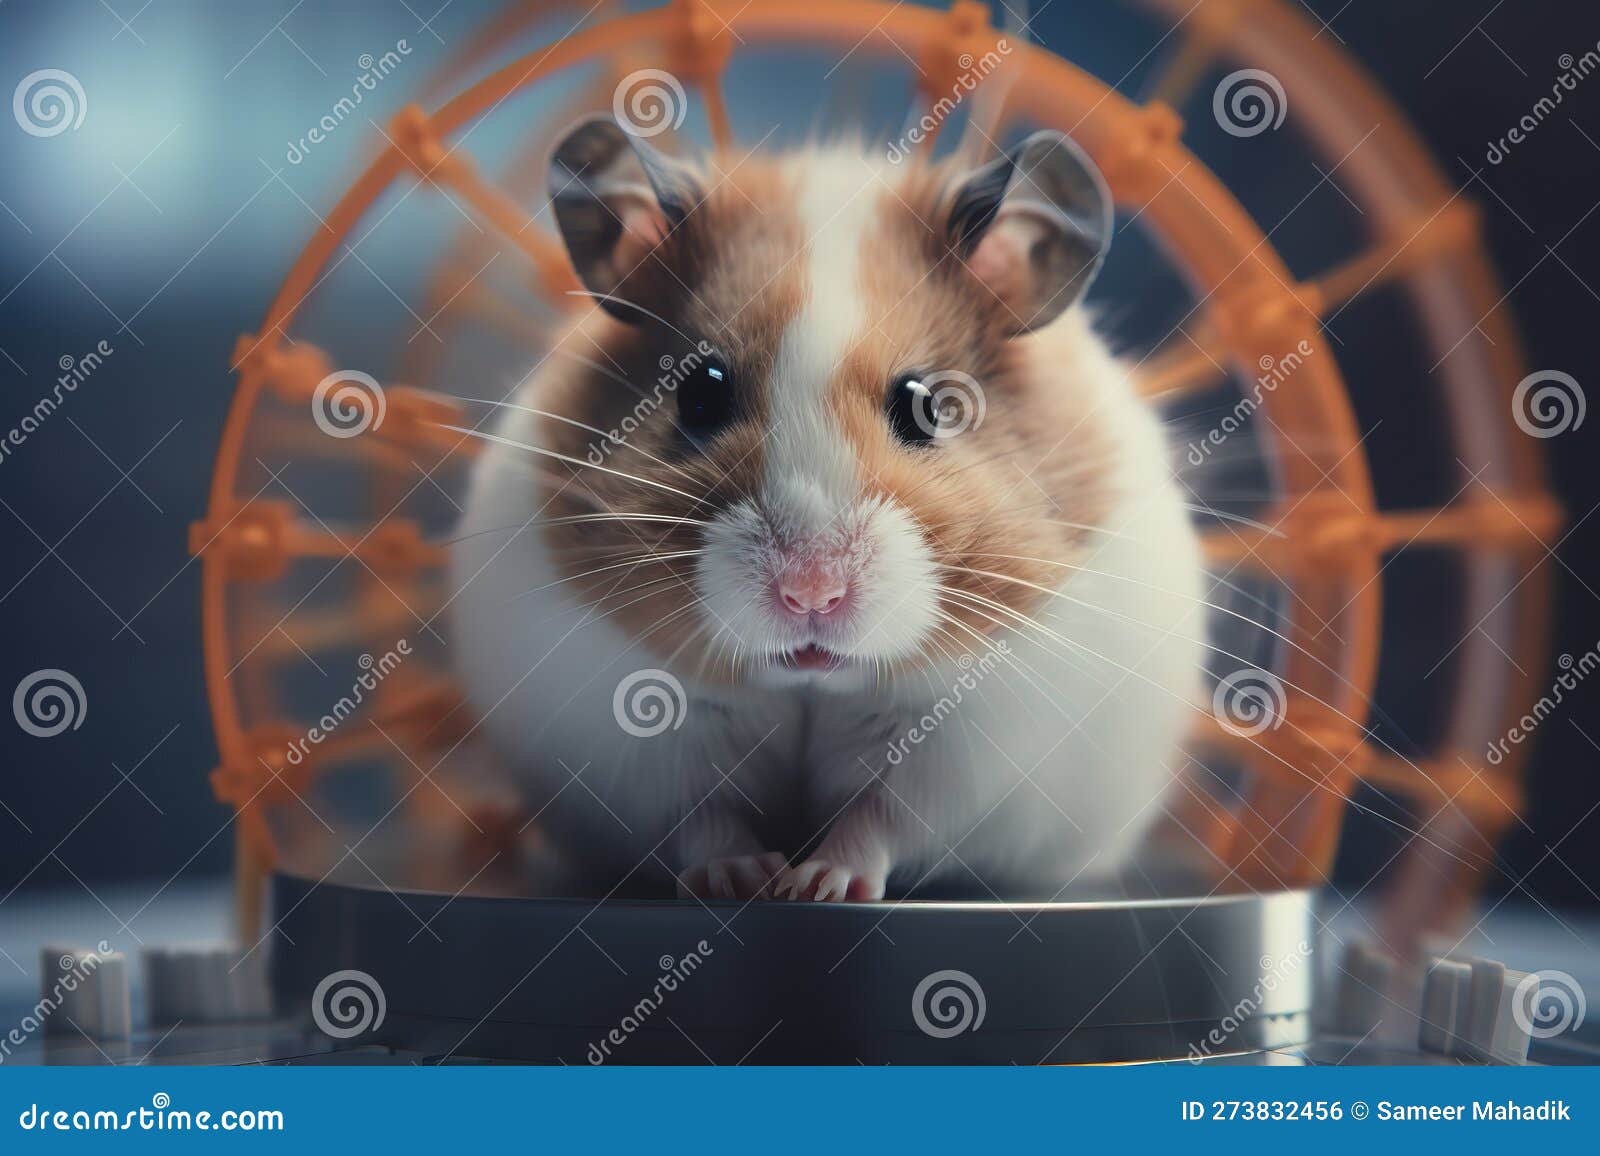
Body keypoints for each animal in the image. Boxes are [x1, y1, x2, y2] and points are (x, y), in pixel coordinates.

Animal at [447, 116, 1205, 902]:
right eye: (699, 393)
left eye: (928, 406)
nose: (810, 593)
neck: (812, 686)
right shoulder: (637, 749)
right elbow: (700, 816)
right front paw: (745, 880)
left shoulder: (965, 752)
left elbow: (884, 819)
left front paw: (814, 884)